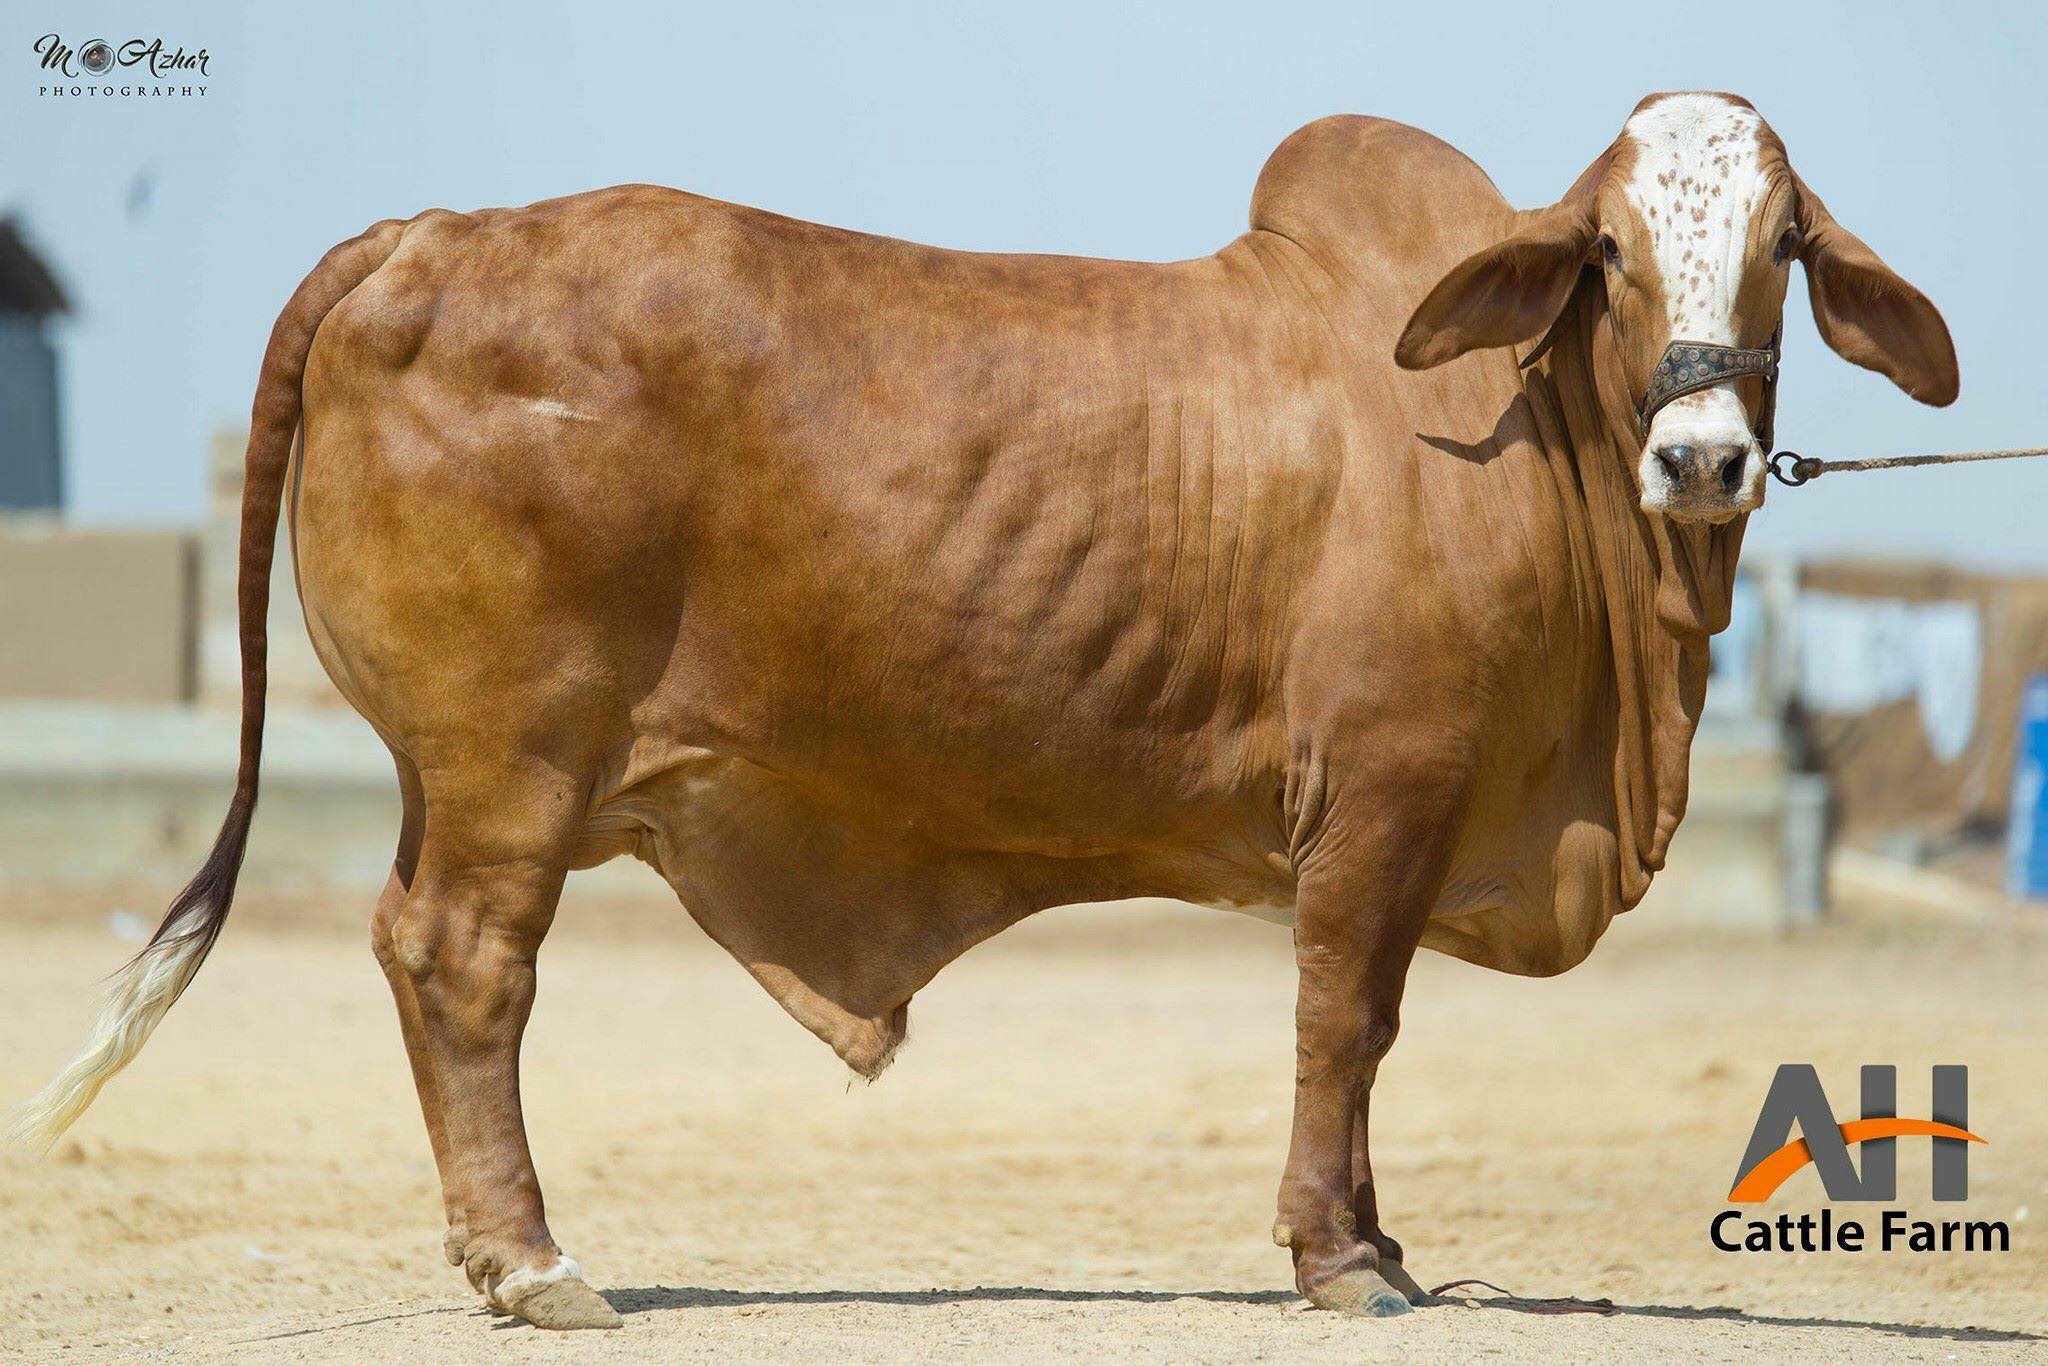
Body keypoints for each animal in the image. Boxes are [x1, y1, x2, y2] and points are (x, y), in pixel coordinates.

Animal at [14, 92, 1955, 1328]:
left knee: (414, 949)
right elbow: (1344, 1023)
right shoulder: (1384, 799)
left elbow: (1368, 1041)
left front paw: (1381, 1238)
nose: (1702, 458)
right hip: (516, 764)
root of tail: (424, 235)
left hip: (452, 771)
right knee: (462, 964)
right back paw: (535, 1264)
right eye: (1611, 249)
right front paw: (1336, 1257)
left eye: (1781, 242)